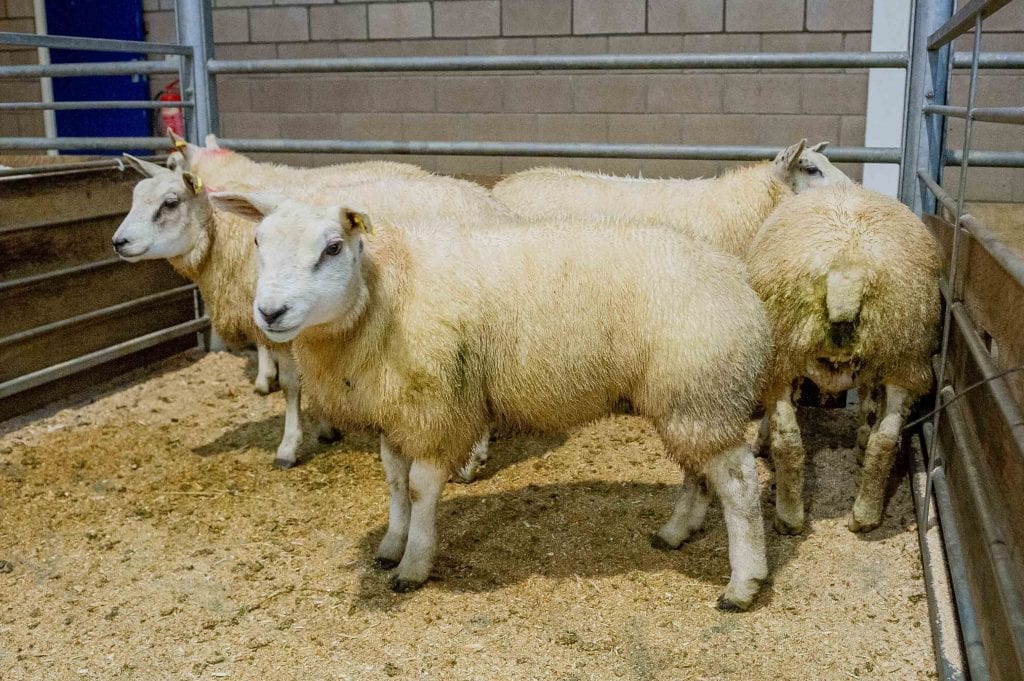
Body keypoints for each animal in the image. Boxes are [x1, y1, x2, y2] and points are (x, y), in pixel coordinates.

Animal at [212, 193, 774, 611]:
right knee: (697, 471)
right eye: (258, 240)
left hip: (702, 389)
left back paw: (743, 584)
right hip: (688, 399)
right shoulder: (396, 410)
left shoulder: (435, 408)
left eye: (332, 247)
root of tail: (736, 275)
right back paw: (677, 531)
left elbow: (419, 488)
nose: (270, 312)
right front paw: (391, 544)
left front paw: (414, 564)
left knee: (739, 484)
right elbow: (393, 479)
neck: (385, 291)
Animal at [746, 183, 941, 534]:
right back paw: (865, 516)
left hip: (781, 348)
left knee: (789, 440)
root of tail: (846, 272)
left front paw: (761, 441)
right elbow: (868, 405)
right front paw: (862, 440)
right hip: (904, 353)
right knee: (886, 439)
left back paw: (788, 518)